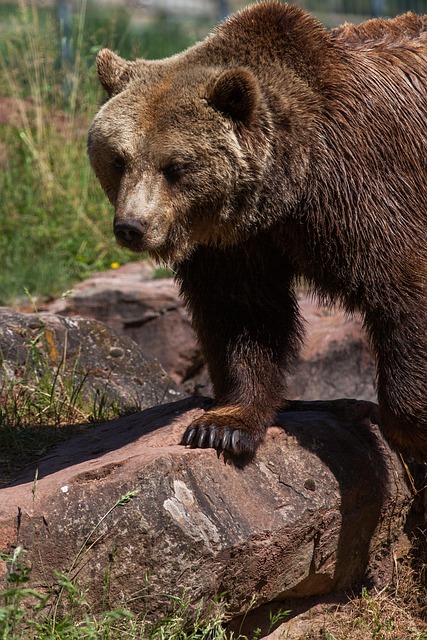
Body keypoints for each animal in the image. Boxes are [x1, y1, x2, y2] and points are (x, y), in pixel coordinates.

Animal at [88, 1, 427, 459]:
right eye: (118, 159)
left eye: (175, 166)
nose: (131, 227)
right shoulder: (235, 240)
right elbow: (242, 313)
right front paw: (222, 426)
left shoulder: (369, 188)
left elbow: (404, 290)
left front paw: (410, 430)